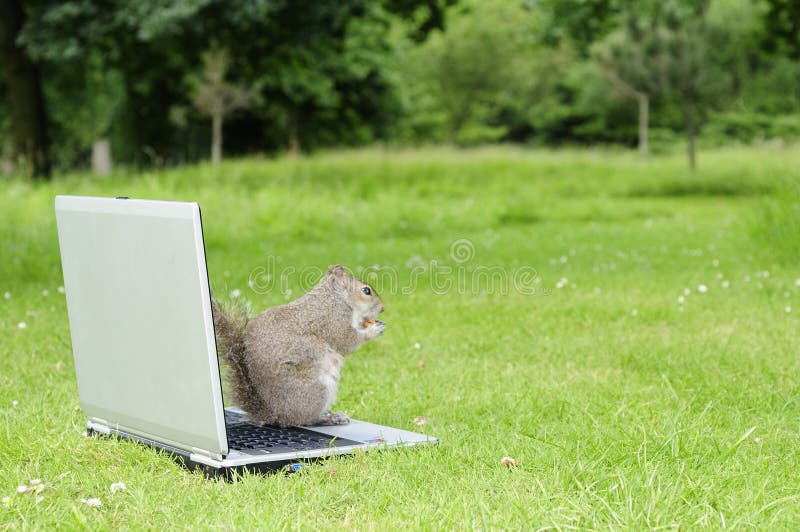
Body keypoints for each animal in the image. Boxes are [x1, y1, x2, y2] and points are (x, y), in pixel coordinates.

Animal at [213, 264, 385, 427]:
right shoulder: (333, 321)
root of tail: (274, 415)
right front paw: (374, 330)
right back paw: (329, 418)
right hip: (316, 389)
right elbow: (347, 341)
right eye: (366, 291)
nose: (383, 308)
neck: (335, 299)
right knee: (304, 420)